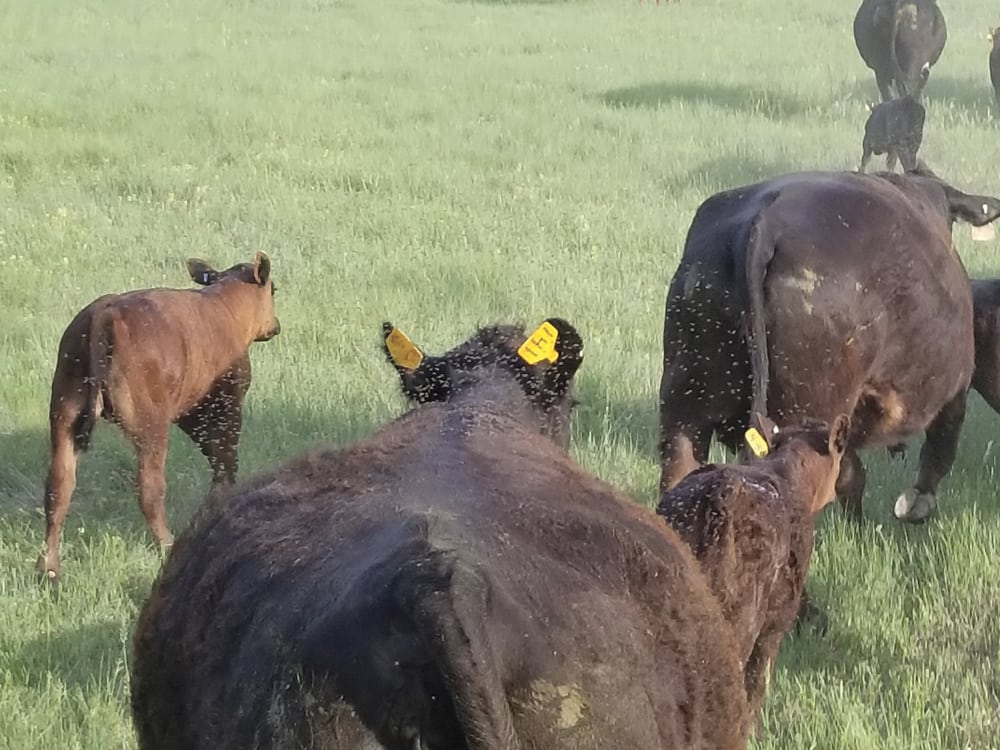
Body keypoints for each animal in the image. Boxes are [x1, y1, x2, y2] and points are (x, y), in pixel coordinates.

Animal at [37, 252, 279, 586]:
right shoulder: (221, 407)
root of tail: (105, 311)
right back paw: (166, 545)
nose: (275, 326)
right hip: (151, 425)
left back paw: (48, 567)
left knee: (58, 486)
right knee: (149, 489)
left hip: (64, 414)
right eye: (274, 290)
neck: (224, 306)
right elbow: (225, 463)